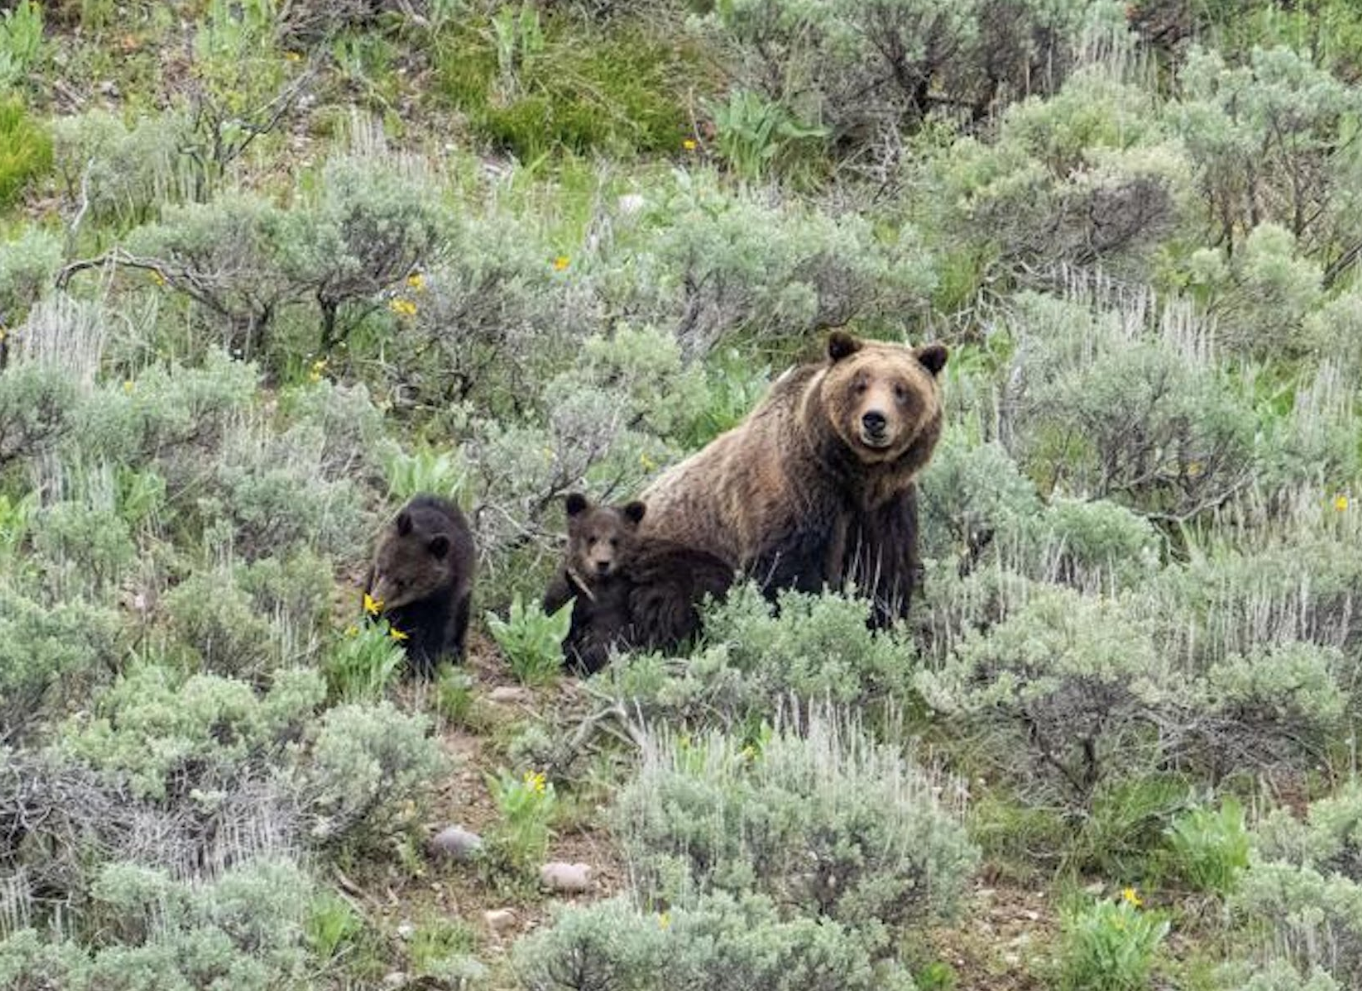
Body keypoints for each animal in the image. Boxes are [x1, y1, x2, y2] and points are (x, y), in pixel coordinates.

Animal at [364, 494, 476, 676]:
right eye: (382, 569)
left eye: (403, 582)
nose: (376, 601)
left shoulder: (442, 597)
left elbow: (433, 632)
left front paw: (422, 668)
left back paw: (457, 654)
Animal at [638, 330, 947, 627]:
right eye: (859, 385)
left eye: (901, 389)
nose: (874, 419)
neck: (857, 477)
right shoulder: (801, 494)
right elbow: (791, 573)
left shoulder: (886, 507)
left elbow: (882, 572)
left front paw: (882, 621)